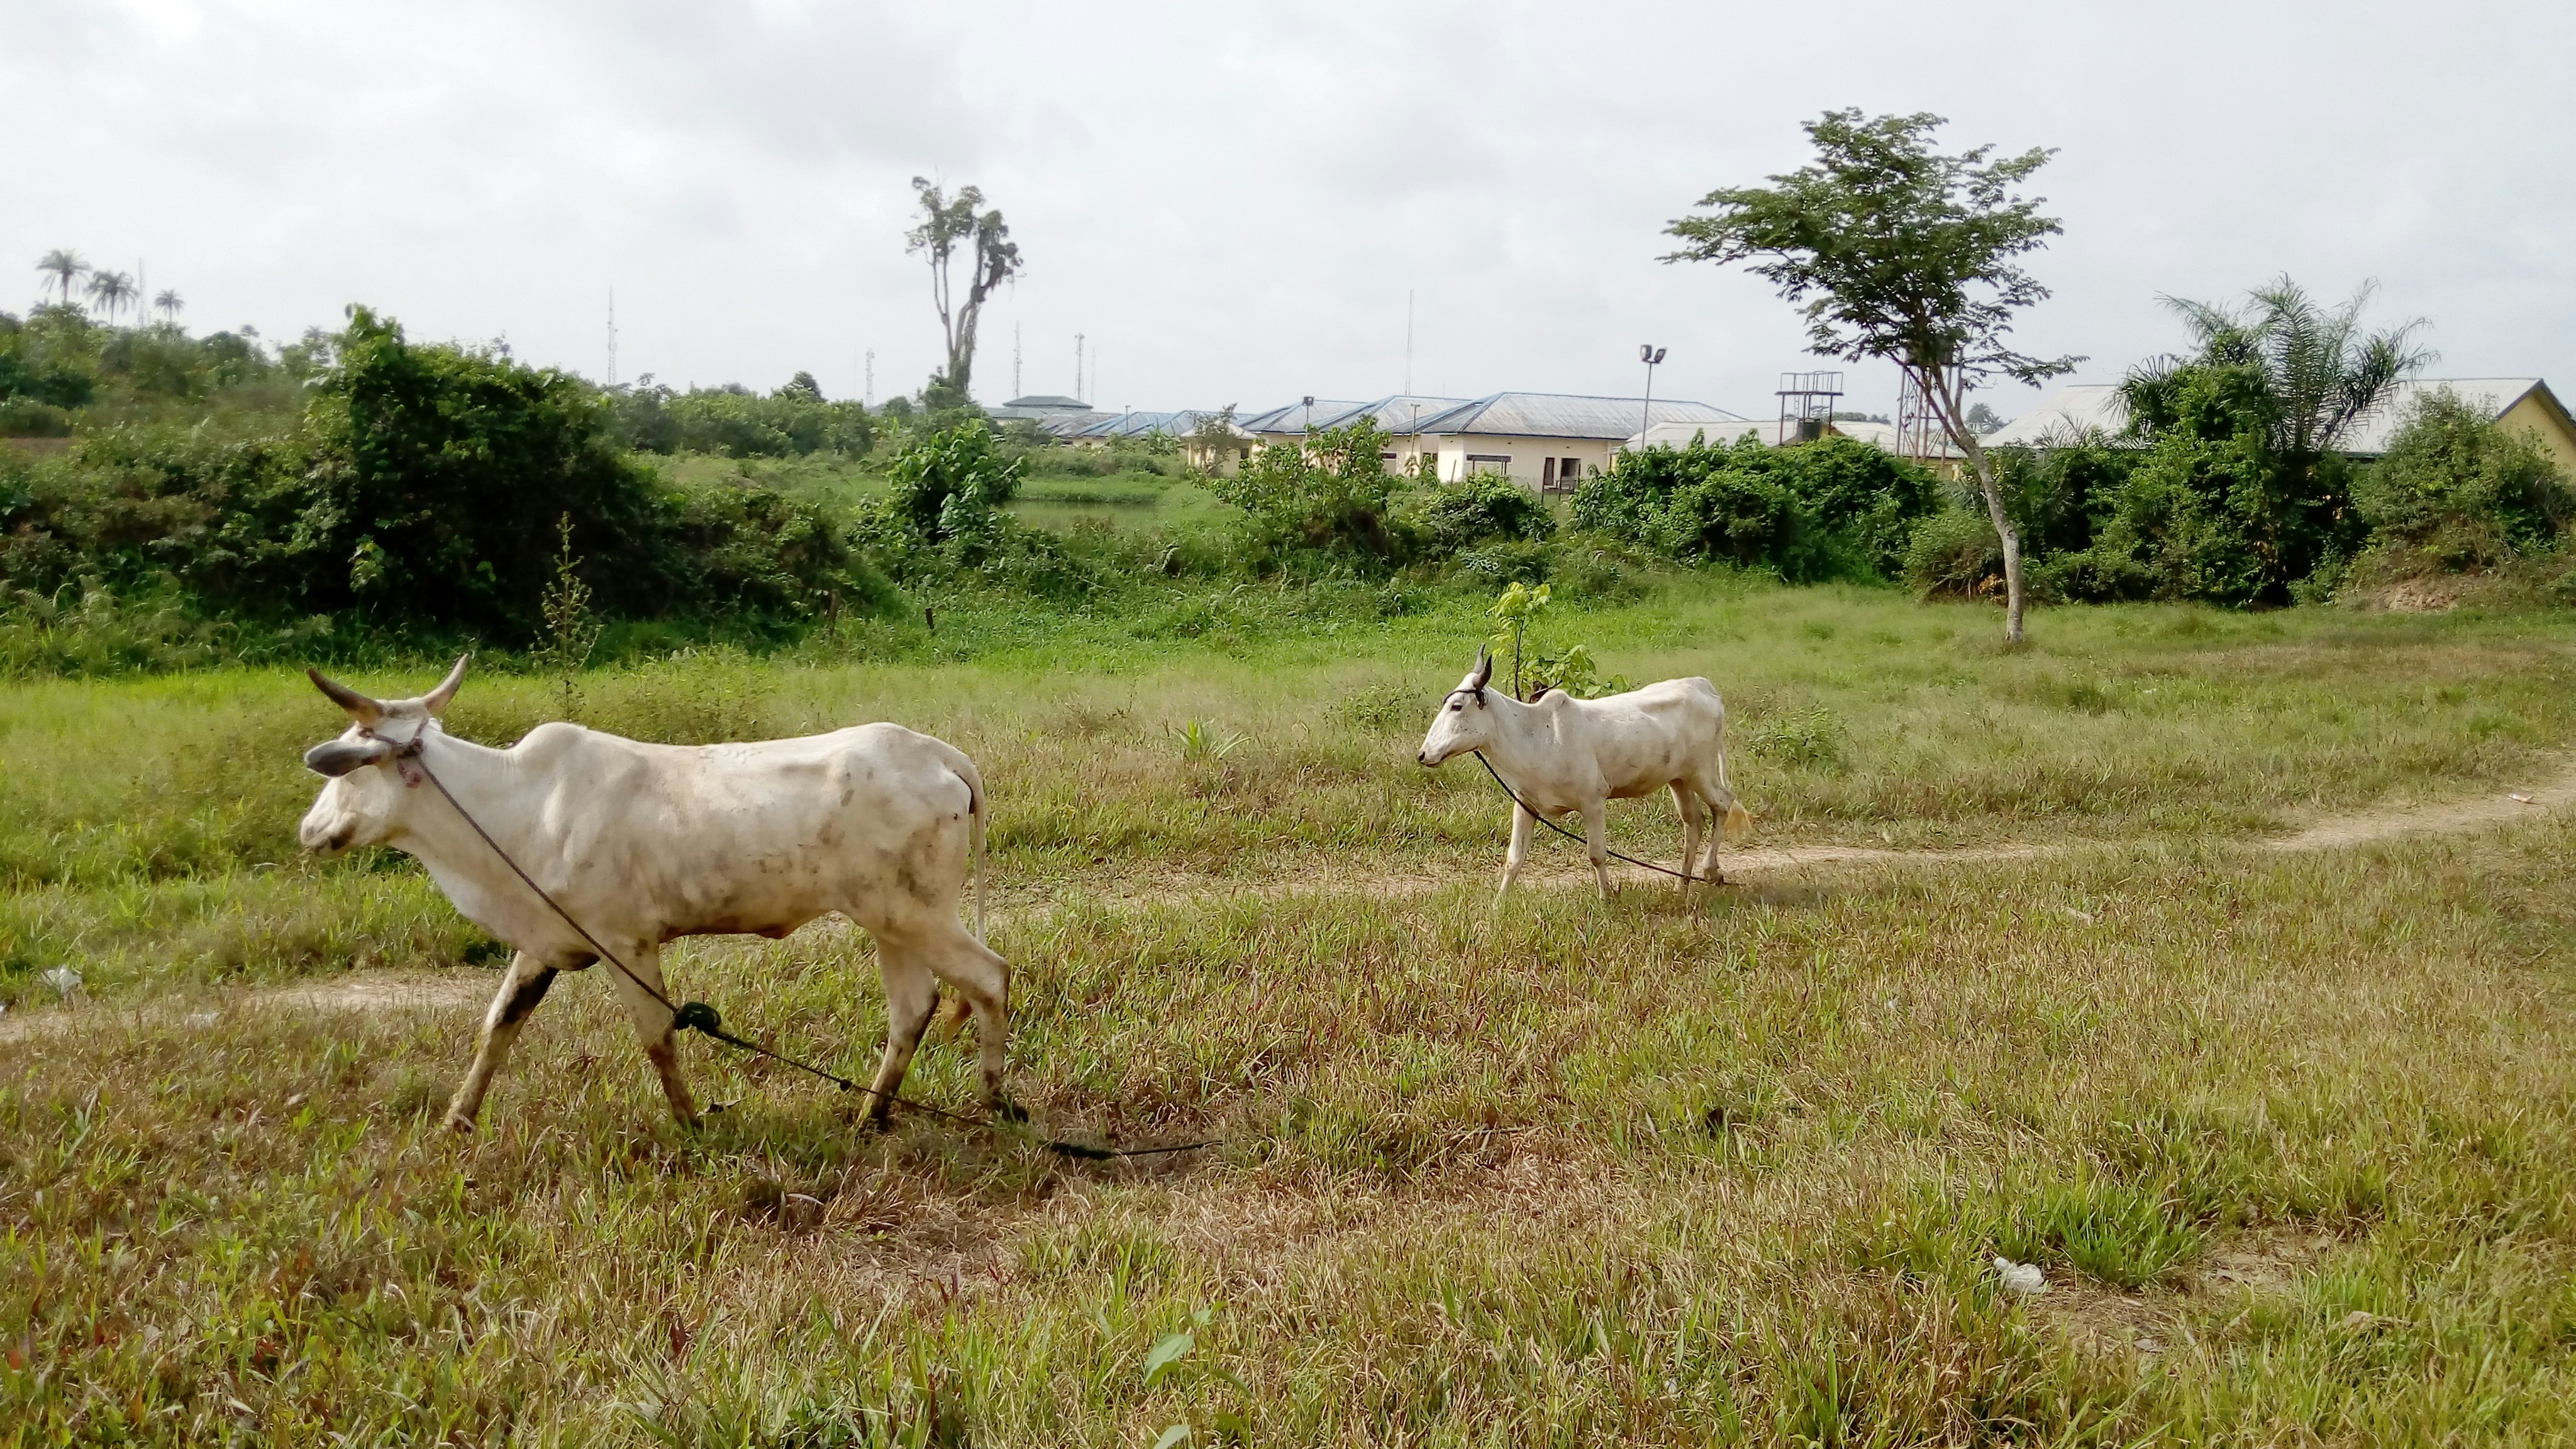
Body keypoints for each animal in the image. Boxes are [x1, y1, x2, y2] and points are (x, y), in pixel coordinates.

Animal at [295, 657, 1015, 1134]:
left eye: (353, 770)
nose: (309, 830)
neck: (518, 806)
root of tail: (936, 753)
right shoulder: (543, 942)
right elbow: (499, 1025)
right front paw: (456, 1122)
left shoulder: (627, 944)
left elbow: (658, 1037)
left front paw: (692, 1125)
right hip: (889, 920)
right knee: (914, 1007)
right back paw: (871, 1114)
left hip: (917, 915)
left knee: (989, 977)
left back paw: (995, 1103)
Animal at [1416, 648, 1751, 901]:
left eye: (1457, 706)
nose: (1423, 754)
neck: (1536, 734)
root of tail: (1703, 686)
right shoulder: (1525, 805)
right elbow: (1514, 859)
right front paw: (1500, 903)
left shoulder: (1593, 801)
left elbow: (1596, 854)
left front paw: (1606, 898)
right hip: (1678, 779)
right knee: (1693, 823)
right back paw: (1681, 886)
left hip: (1701, 770)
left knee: (1723, 803)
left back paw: (1711, 871)